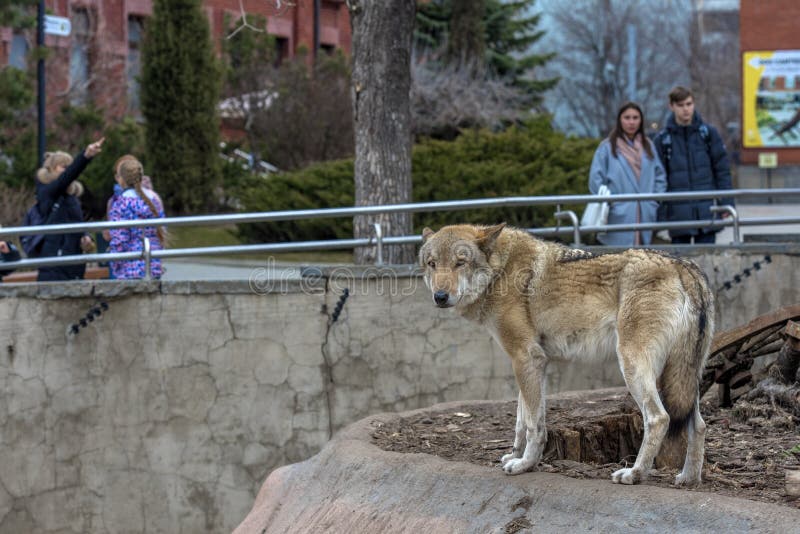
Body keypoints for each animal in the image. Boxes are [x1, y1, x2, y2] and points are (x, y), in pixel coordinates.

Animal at [419, 223, 714, 486]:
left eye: (460, 263)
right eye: (432, 264)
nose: (440, 296)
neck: (500, 270)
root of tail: (685, 266)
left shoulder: (525, 358)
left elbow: (534, 425)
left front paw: (525, 465)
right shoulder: (533, 363)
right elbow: (521, 420)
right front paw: (514, 456)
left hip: (633, 367)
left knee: (659, 418)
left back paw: (634, 474)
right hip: (681, 378)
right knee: (698, 425)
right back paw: (688, 478)